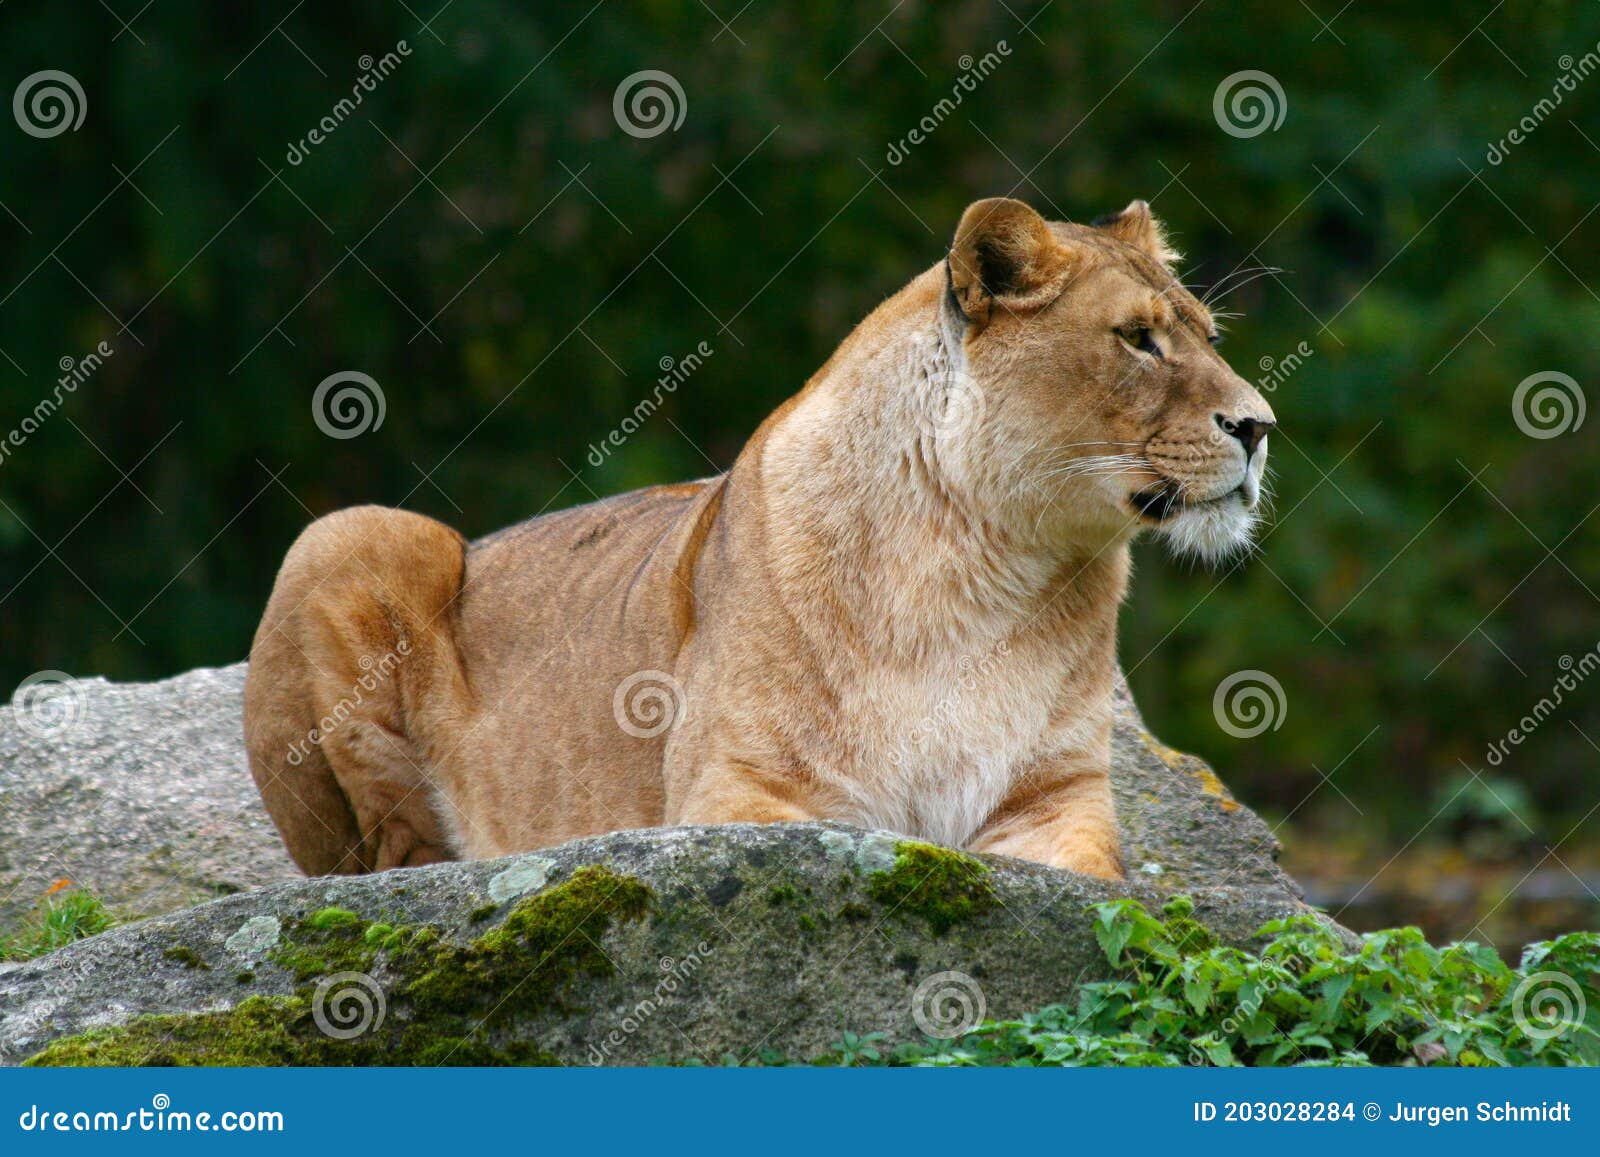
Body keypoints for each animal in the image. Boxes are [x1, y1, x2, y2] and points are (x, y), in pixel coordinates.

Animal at [243, 196, 1275, 882]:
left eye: (1209, 333)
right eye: (1138, 338)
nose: (1262, 426)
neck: (979, 566)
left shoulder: (1057, 801)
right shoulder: (737, 795)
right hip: (351, 533)